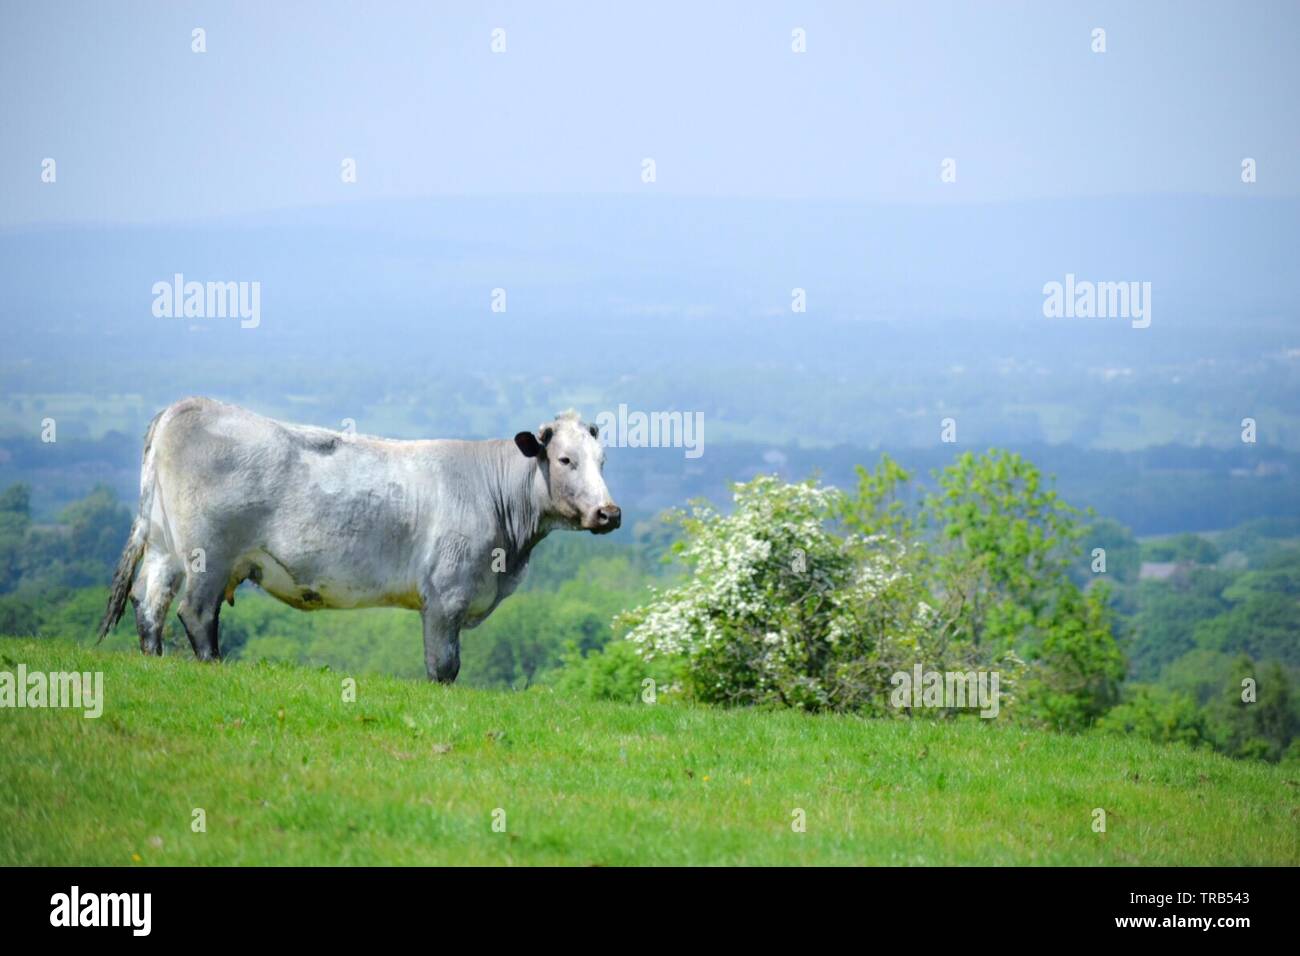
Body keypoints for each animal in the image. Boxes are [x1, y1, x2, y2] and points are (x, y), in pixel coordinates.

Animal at [96, 397, 620, 682]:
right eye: (566, 460)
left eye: (602, 460)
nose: (609, 513)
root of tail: (186, 405)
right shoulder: (446, 596)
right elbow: (443, 667)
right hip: (210, 554)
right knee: (195, 613)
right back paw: (212, 664)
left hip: (164, 546)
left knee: (150, 605)